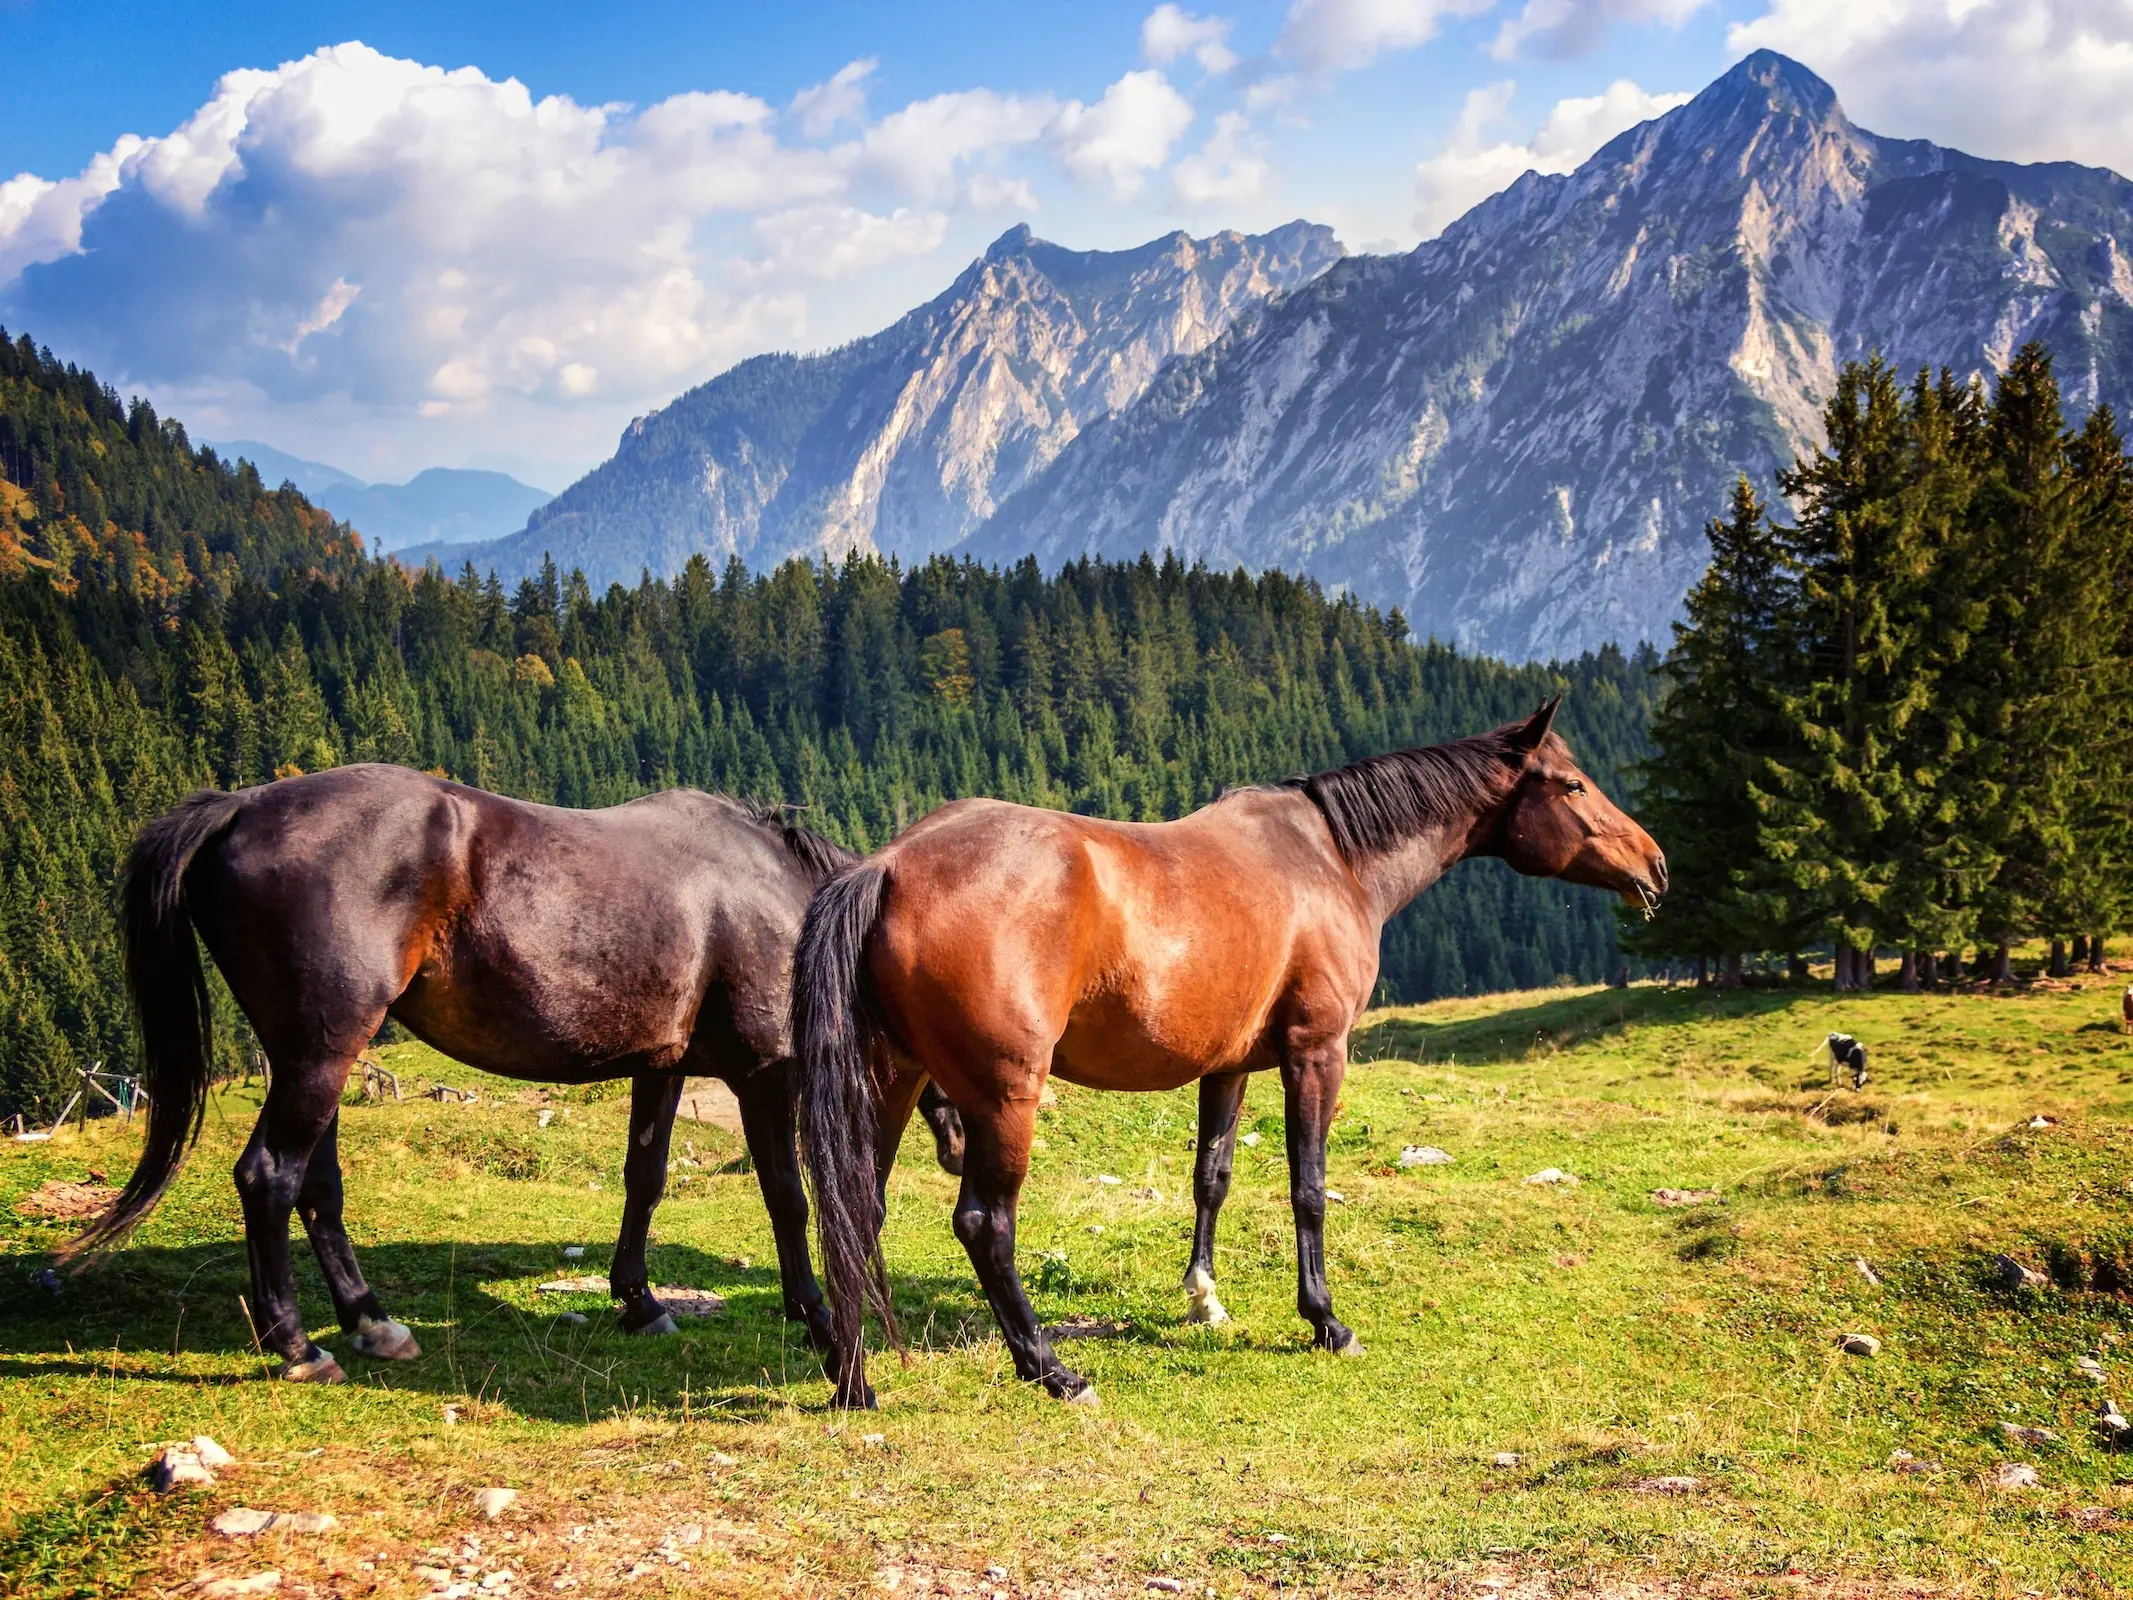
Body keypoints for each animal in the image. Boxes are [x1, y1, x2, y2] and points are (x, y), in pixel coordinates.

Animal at [71, 763, 870, 1382]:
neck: (776, 891)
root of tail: (237, 806)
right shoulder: (765, 1071)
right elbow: (787, 1198)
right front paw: (820, 1323)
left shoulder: (661, 1068)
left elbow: (644, 1180)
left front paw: (640, 1303)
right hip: (319, 1057)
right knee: (270, 1176)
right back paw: (298, 1348)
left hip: (315, 1060)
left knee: (317, 1187)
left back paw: (371, 1323)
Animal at [794, 699, 1666, 1409]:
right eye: (1572, 786)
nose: (1654, 865)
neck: (1331, 858)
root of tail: (889, 865)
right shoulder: (1317, 1052)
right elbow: (1308, 1188)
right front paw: (1324, 1321)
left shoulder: (1229, 1066)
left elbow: (1209, 1178)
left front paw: (1203, 1299)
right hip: (1002, 1099)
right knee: (984, 1224)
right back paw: (1050, 1371)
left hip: (891, 1081)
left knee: (858, 1211)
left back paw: (853, 1378)